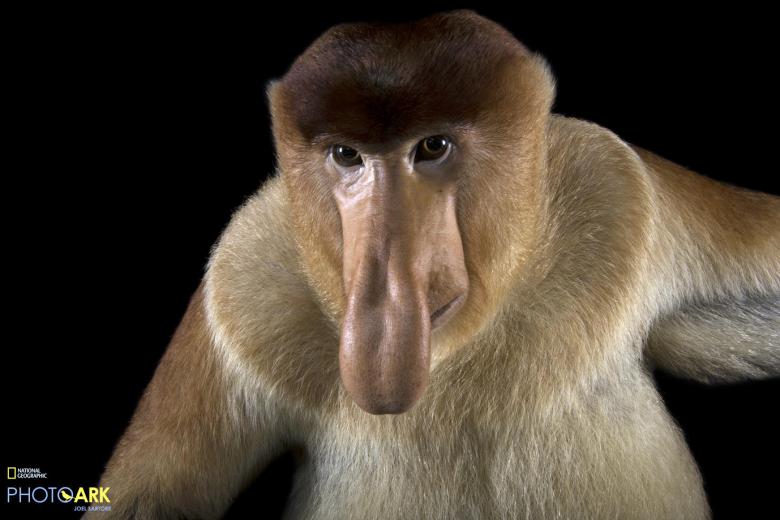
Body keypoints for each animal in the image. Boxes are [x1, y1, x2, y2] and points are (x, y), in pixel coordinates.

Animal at [86, 10, 779, 520]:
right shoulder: (238, 283)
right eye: (346, 155)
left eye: (433, 146)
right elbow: (149, 499)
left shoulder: (626, 193)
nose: (389, 293)